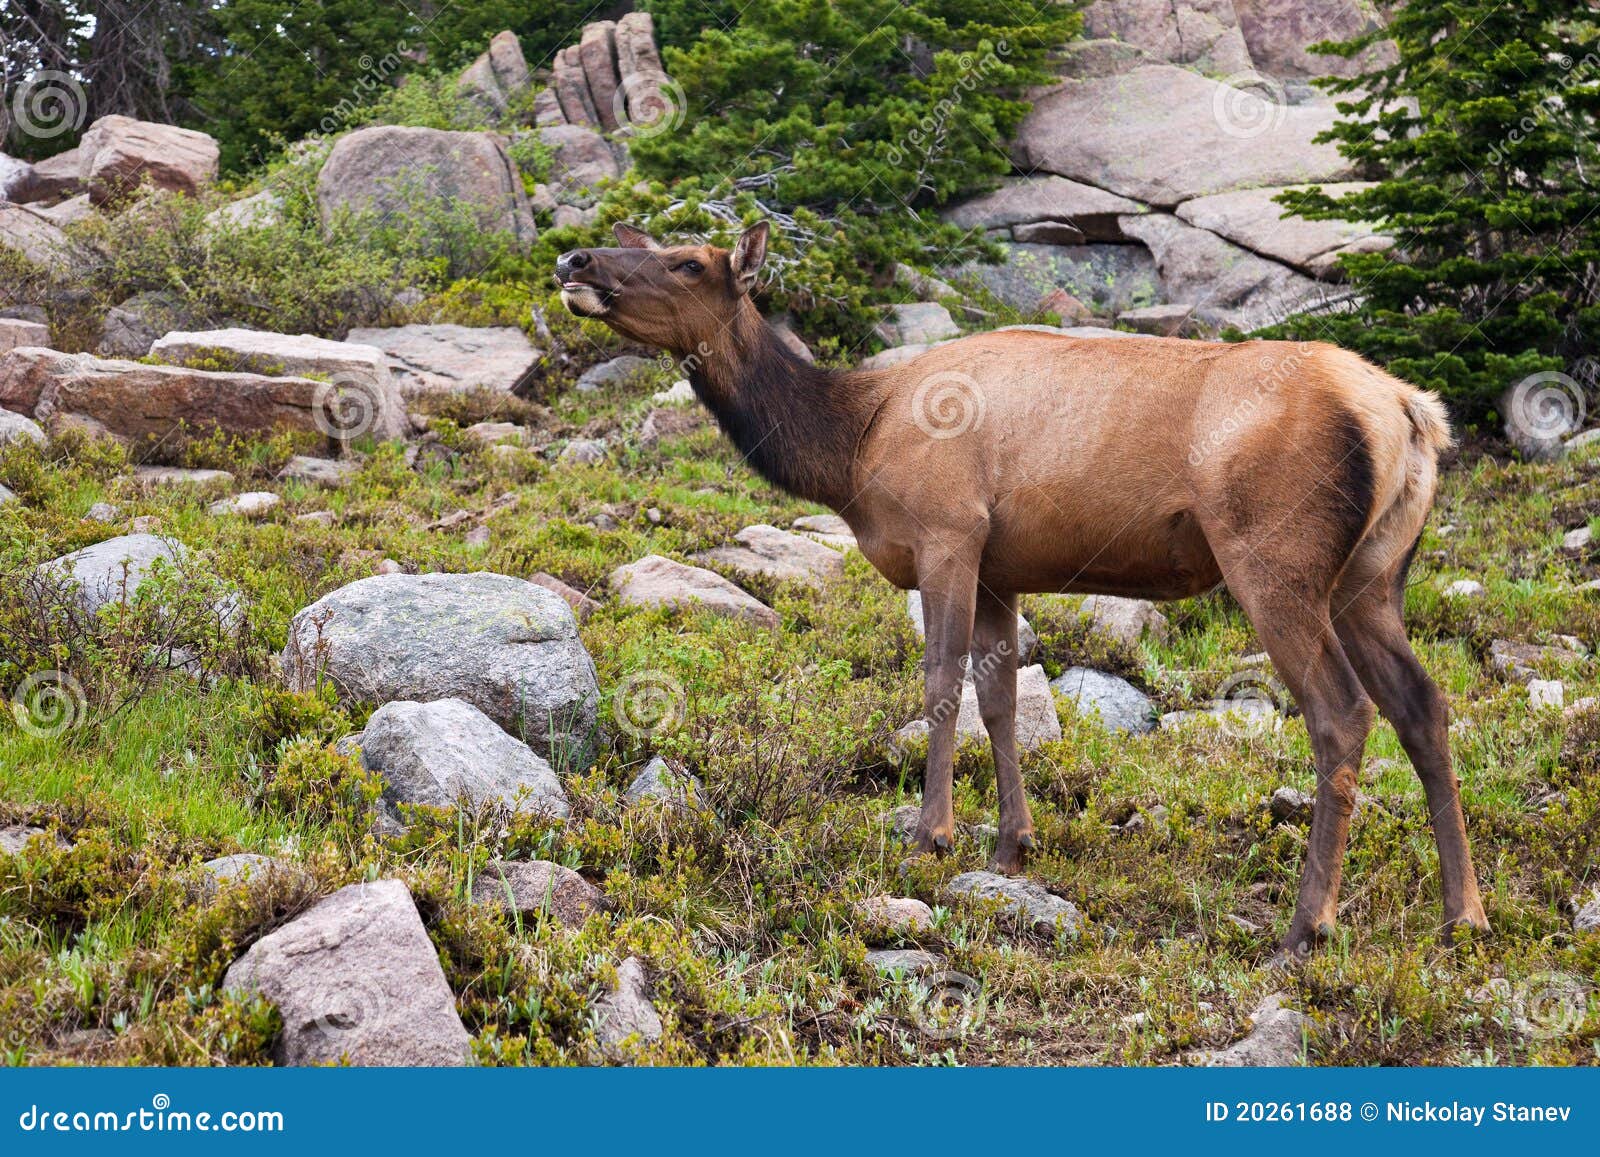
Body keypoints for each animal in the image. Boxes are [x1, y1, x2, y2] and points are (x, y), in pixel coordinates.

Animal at [555, 220, 1489, 961]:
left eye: (687, 262)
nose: (573, 257)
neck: (851, 448)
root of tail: (1413, 414)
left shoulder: (949, 529)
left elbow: (939, 685)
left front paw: (930, 836)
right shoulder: (1001, 567)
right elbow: (1001, 696)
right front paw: (1012, 844)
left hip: (1274, 553)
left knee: (1343, 711)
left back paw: (1307, 925)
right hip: (1371, 577)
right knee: (1424, 703)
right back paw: (1464, 915)